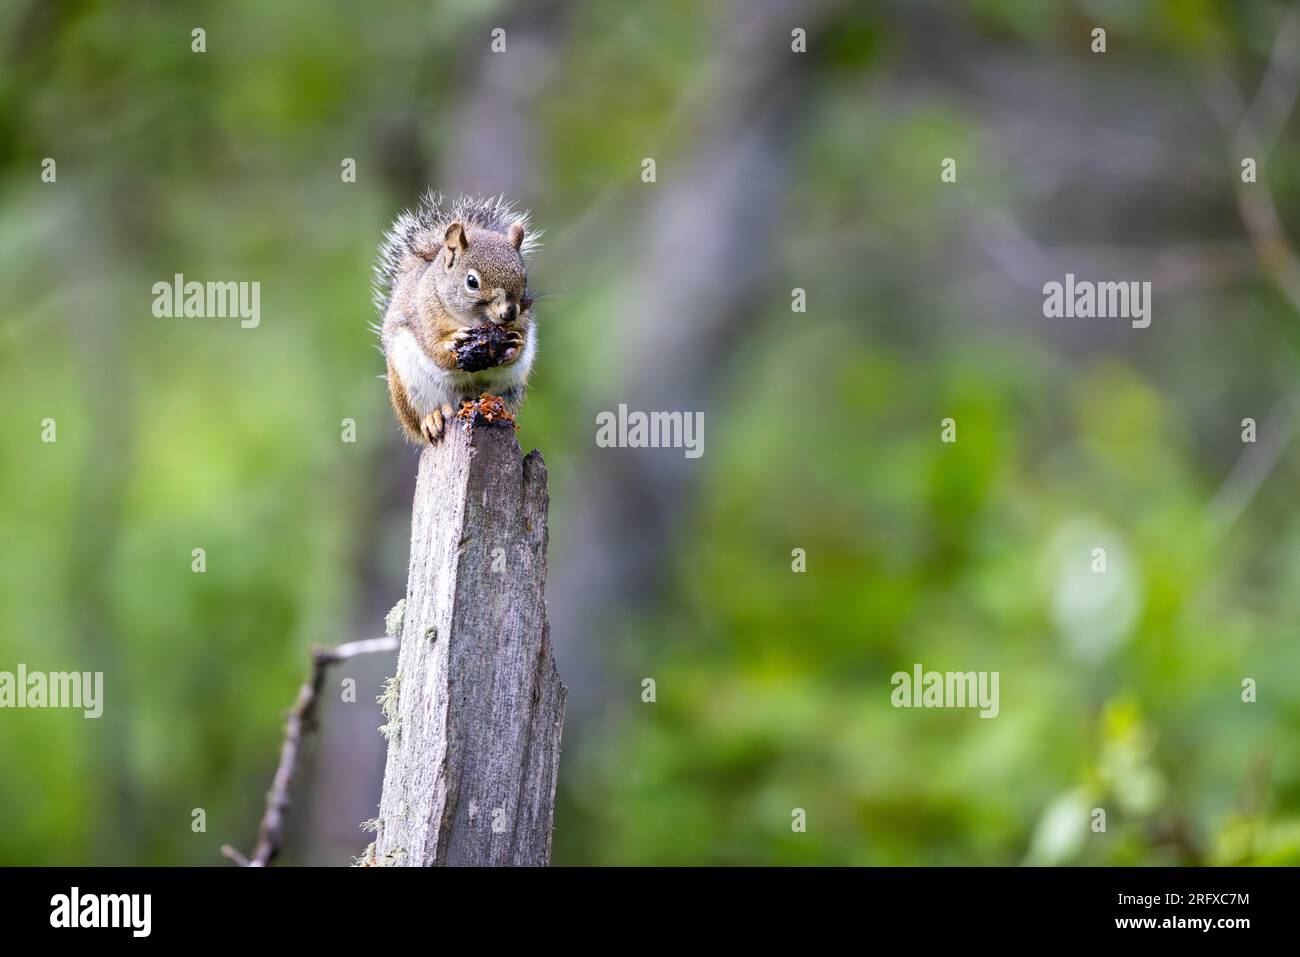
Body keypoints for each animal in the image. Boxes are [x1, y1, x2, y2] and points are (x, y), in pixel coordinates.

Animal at [374, 191, 541, 443]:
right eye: (472, 281)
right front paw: (452, 341)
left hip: (510, 387)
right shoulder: (424, 318)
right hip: (411, 385)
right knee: (423, 416)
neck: (473, 321)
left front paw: (513, 345)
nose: (509, 313)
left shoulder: (523, 321)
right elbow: (435, 350)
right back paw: (433, 417)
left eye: (524, 279)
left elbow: (518, 345)